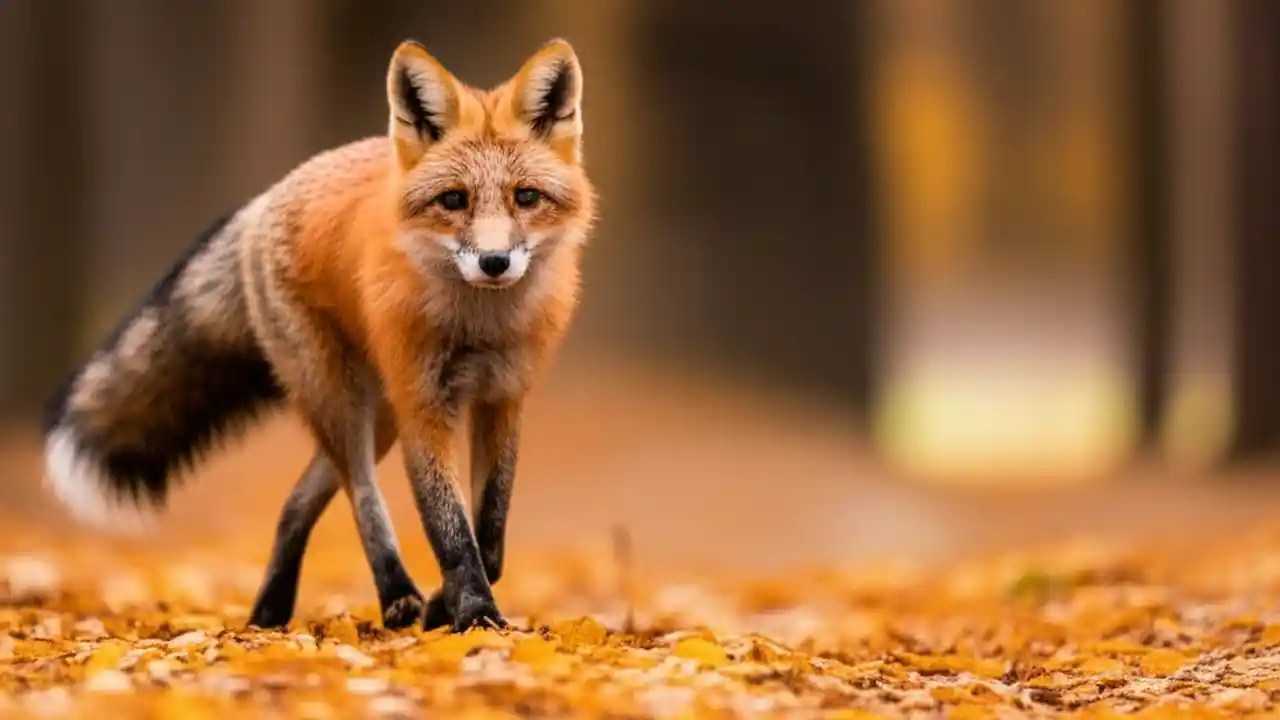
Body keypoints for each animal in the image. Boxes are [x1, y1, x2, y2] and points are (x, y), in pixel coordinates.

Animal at [41, 39, 595, 632]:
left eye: (526, 197)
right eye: (453, 200)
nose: (494, 262)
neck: (480, 326)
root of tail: (266, 198)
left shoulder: (503, 401)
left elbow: (490, 536)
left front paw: (449, 607)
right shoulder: (426, 407)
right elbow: (451, 531)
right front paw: (472, 615)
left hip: (378, 420)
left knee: (299, 499)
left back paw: (272, 607)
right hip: (344, 401)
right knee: (361, 494)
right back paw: (394, 594)